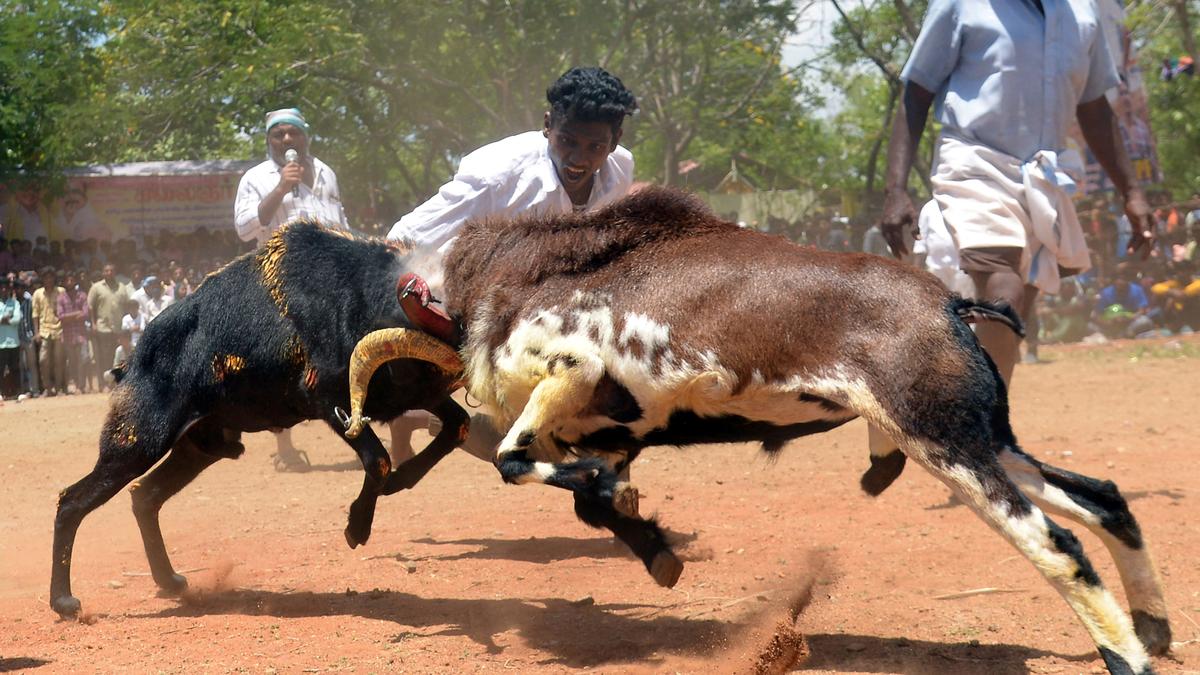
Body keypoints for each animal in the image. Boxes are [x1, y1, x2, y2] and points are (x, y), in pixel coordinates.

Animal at [50, 222, 467, 619]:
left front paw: (400, 479)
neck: (356, 297)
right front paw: (356, 526)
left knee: (144, 496)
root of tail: (130, 363)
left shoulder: (417, 394)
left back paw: (170, 581)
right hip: (137, 441)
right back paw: (64, 602)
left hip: (200, 448)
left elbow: (457, 425)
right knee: (72, 501)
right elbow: (378, 460)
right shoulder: (328, 400)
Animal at [355, 187, 1171, 675]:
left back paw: (1127, 655)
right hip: (979, 436)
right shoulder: (604, 428)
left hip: (943, 441)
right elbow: (585, 492)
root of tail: (949, 303)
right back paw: (1153, 628)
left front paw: (636, 527)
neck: (510, 280)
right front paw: (652, 545)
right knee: (1103, 498)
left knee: (1057, 542)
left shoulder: (570, 372)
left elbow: (517, 461)